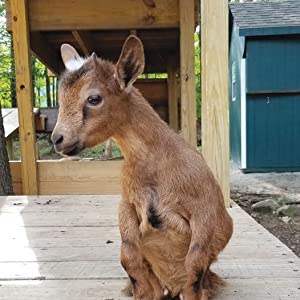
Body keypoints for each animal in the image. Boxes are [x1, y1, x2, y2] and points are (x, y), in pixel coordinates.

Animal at [52, 35, 233, 300]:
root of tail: (172, 286)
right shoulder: (127, 204)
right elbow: (128, 258)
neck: (154, 166)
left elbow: (195, 264)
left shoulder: (204, 207)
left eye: (94, 98)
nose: (57, 139)